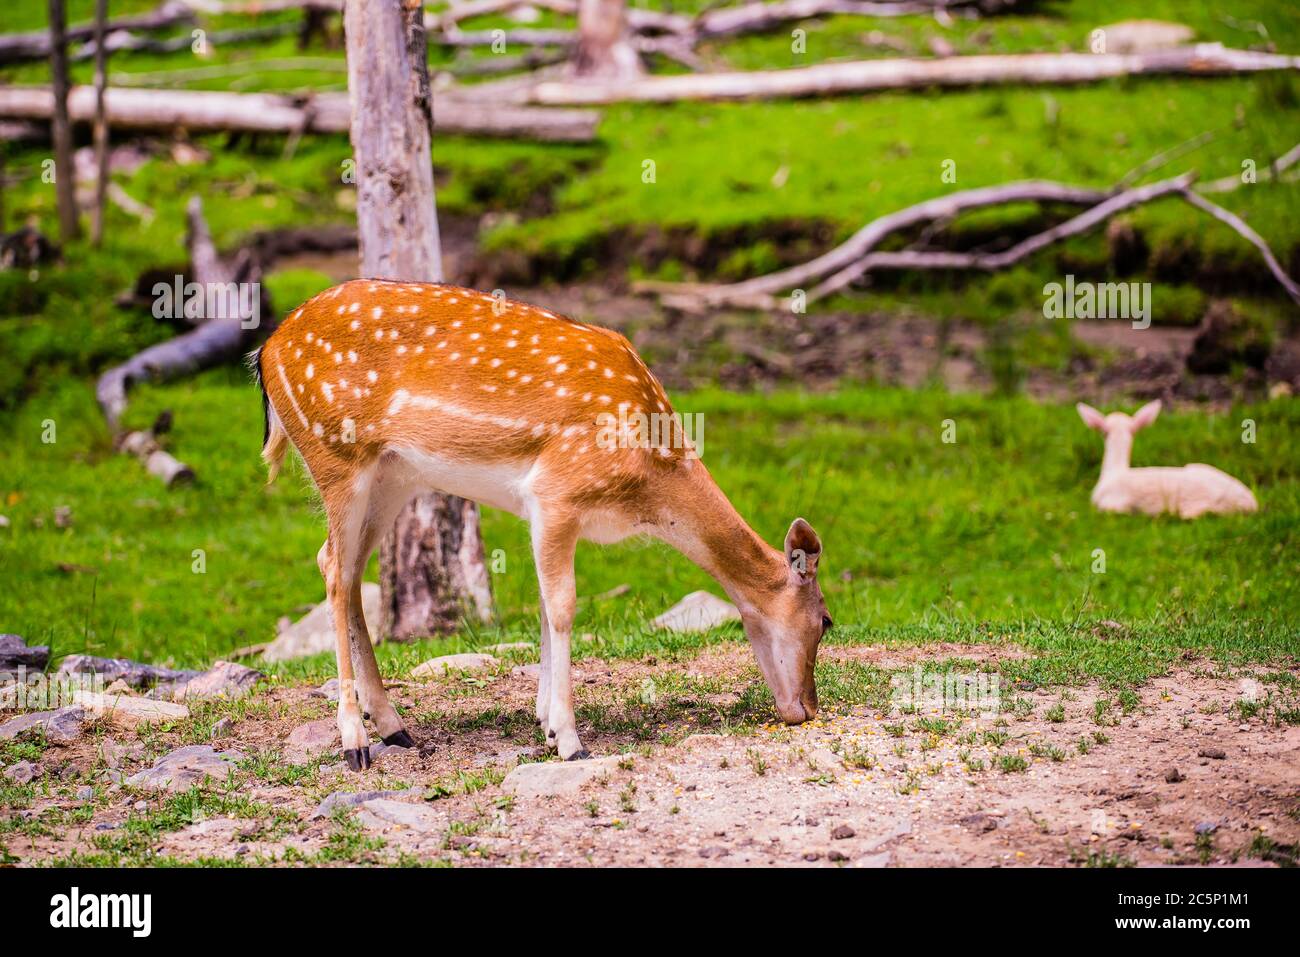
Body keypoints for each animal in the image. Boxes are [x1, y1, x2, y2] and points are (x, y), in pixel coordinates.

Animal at [254, 279, 831, 770]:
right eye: (826, 620)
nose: (806, 708)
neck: (648, 479)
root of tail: (266, 352)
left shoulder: (544, 511)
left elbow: (541, 602)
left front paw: (547, 726)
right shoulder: (557, 490)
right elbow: (563, 606)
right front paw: (571, 741)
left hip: (394, 478)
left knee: (342, 567)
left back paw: (395, 726)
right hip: (336, 454)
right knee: (335, 570)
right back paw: (355, 741)